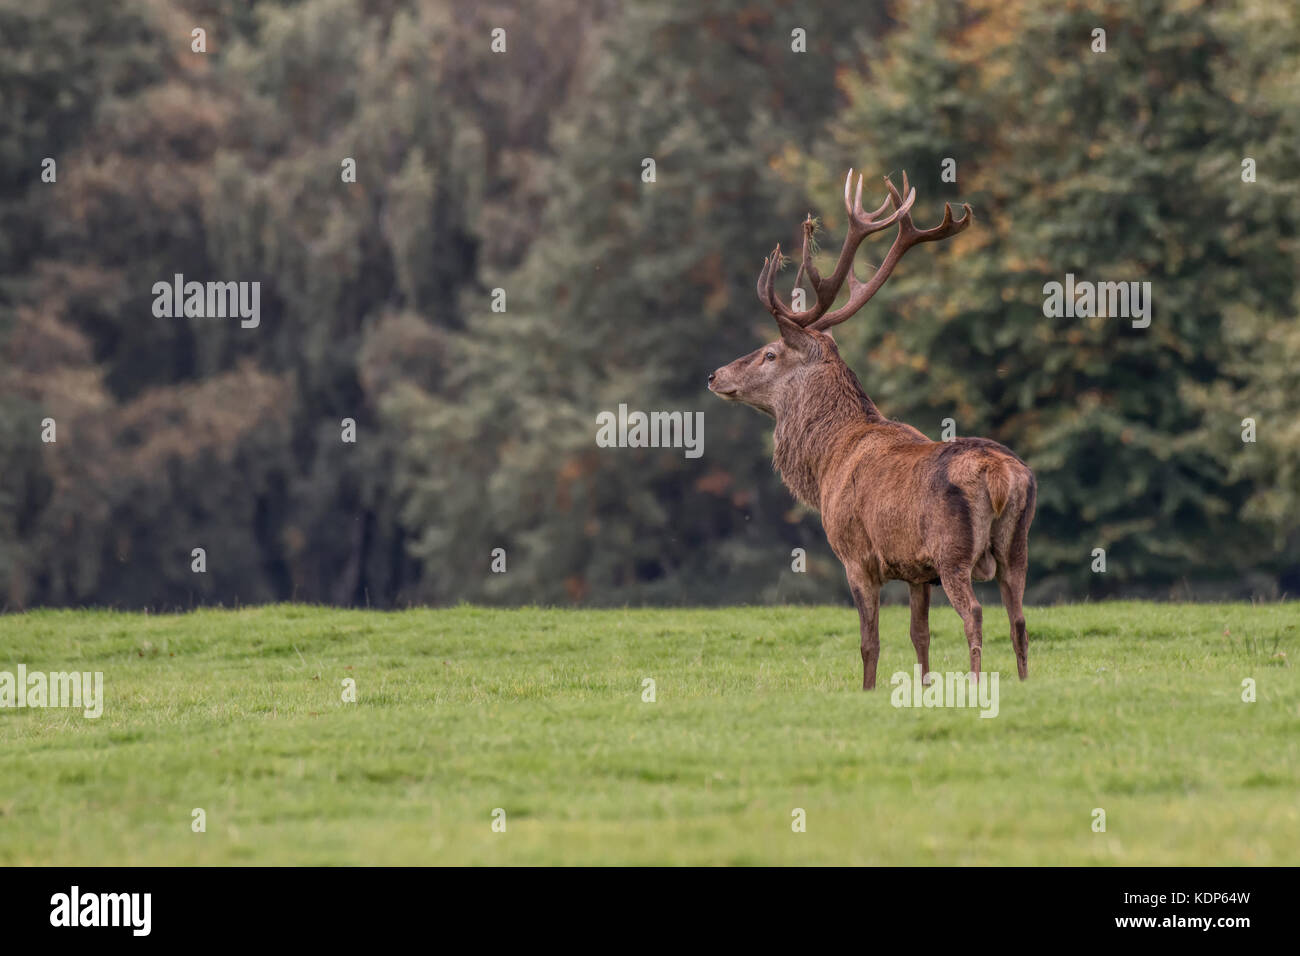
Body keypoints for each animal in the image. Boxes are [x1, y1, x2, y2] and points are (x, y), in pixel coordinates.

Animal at [708, 170, 1036, 690]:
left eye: (769, 353)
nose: (715, 375)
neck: (827, 462)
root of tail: (1005, 477)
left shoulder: (856, 556)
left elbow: (870, 642)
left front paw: (867, 689)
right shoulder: (917, 571)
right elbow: (919, 636)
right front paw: (924, 686)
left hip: (954, 550)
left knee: (976, 613)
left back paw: (976, 683)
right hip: (1016, 546)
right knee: (1019, 618)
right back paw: (1024, 682)